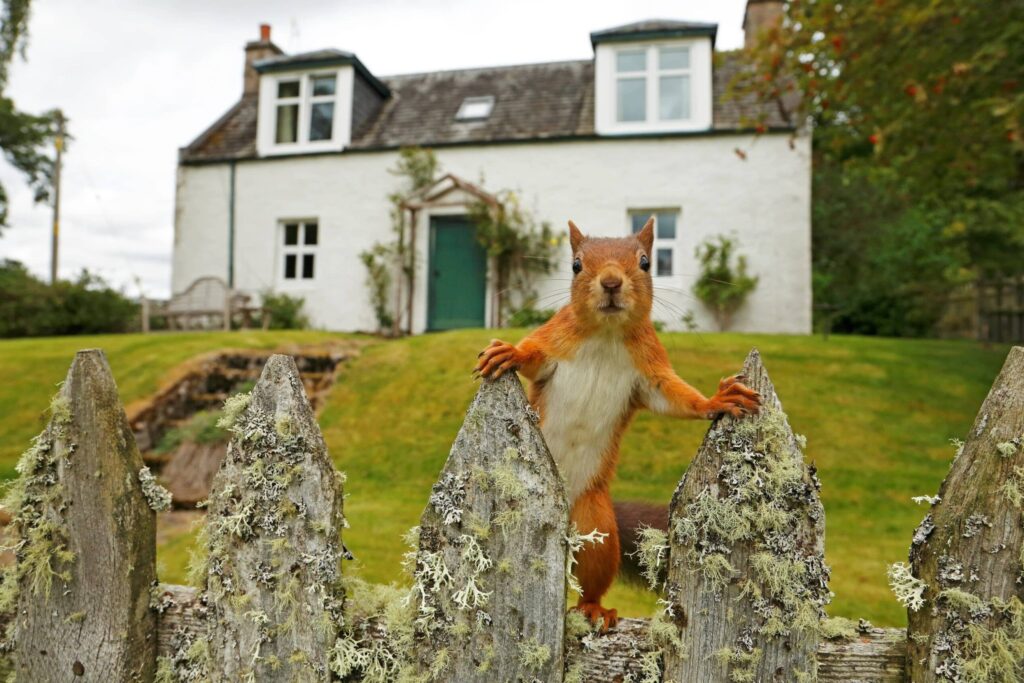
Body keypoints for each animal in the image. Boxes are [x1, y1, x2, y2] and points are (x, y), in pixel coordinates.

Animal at [474, 217, 761, 630]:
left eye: (645, 262)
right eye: (576, 265)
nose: (611, 282)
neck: (606, 333)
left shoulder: (650, 372)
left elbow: (675, 398)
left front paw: (716, 401)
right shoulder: (553, 341)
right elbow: (533, 356)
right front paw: (509, 351)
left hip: (596, 526)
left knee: (591, 576)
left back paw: (593, 608)